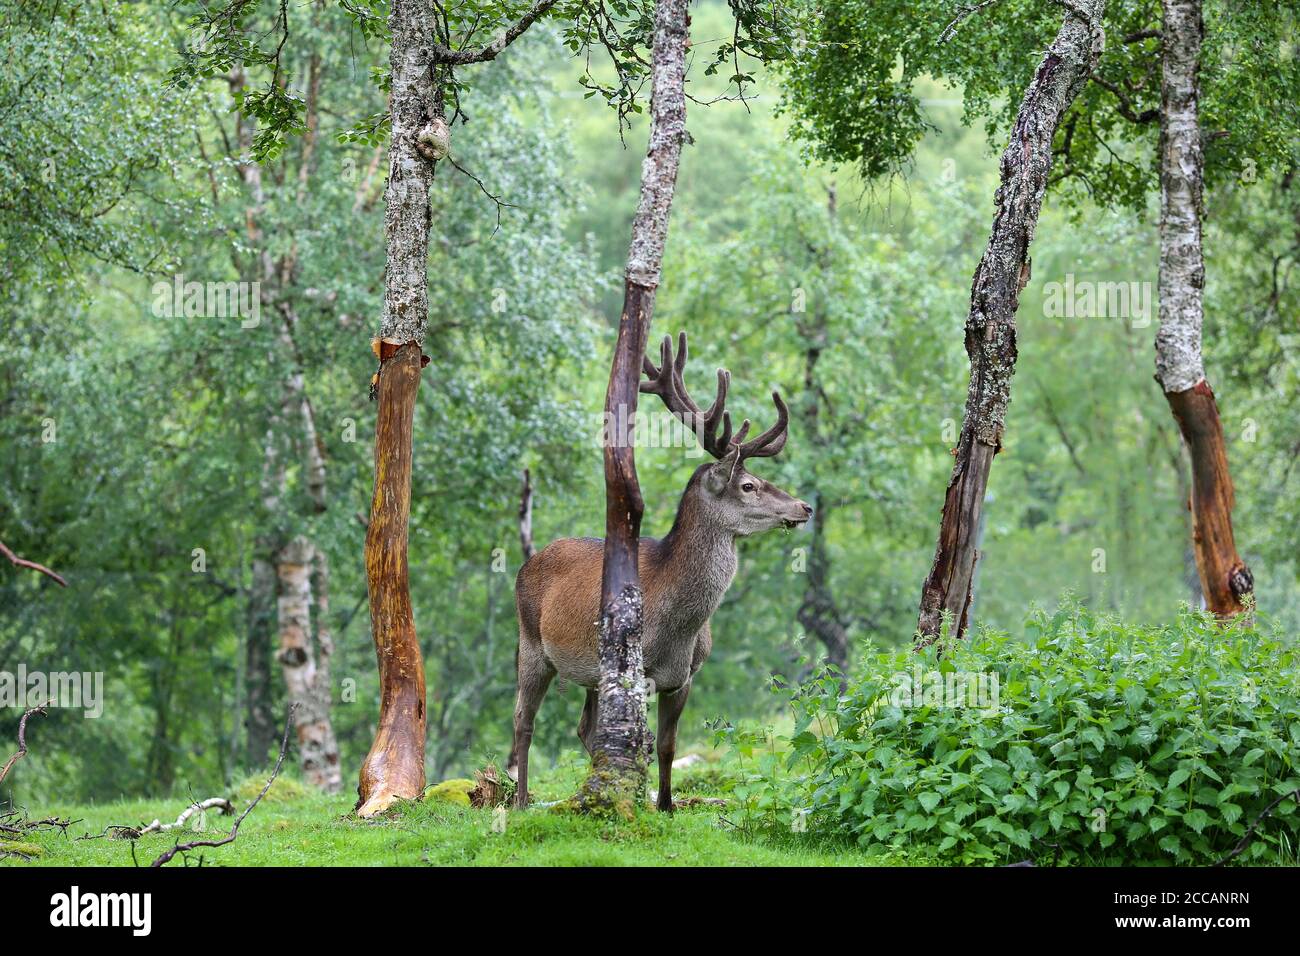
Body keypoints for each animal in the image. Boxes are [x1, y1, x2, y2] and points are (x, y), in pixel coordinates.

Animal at [509, 331, 812, 811]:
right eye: (748, 485)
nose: (804, 507)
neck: (677, 626)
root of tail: (528, 561)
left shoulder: (684, 677)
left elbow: (668, 746)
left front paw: (665, 805)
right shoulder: (635, 672)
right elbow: (646, 743)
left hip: (591, 672)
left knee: (584, 728)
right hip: (531, 644)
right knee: (523, 718)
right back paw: (521, 799)